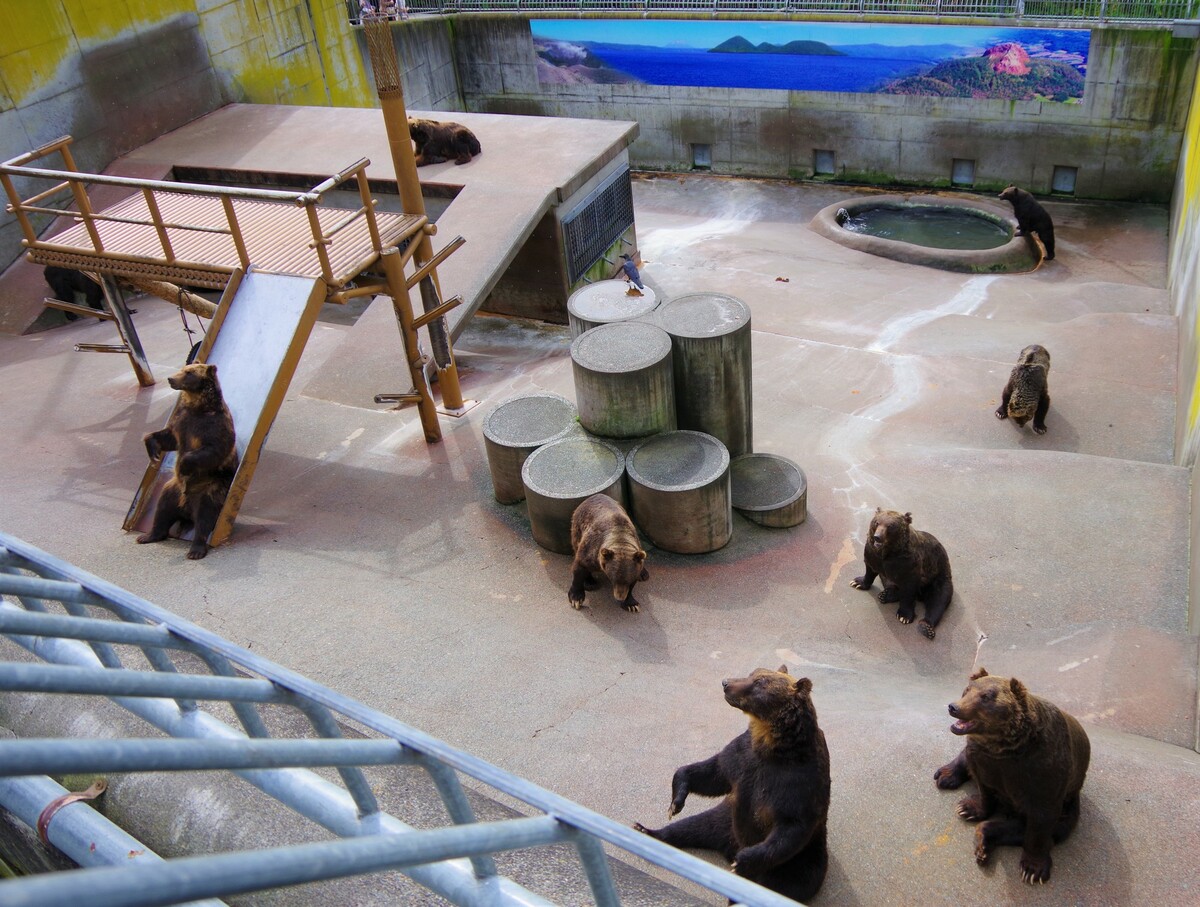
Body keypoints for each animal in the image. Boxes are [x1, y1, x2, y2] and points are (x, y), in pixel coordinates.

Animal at [137, 363, 239, 560]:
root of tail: (187, 511)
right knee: (162, 509)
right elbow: (169, 437)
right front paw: (153, 450)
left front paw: (184, 464)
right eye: (183, 368)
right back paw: (148, 535)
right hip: (172, 489)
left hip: (209, 488)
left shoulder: (213, 426)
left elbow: (213, 450)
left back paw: (196, 550)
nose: (171, 379)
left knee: (204, 517)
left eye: (189, 373)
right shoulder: (181, 420)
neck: (198, 407)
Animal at [633, 665, 830, 903]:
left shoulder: (797, 783)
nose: (726, 683)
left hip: (802, 860)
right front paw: (675, 803)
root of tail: (727, 847)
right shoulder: (742, 757)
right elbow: (712, 773)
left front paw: (743, 861)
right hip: (725, 821)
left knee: (789, 882)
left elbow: (791, 826)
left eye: (760, 682)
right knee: (694, 826)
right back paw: (647, 831)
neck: (772, 745)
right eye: (752, 673)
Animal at [850, 508, 953, 640]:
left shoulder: (908, 564)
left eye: (890, 526)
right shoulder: (873, 554)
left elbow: (909, 589)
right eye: (877, 522)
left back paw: (927, 627)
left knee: (939, 599)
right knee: (889, 582)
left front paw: (904, 616)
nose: (877, 537)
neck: (888, 551)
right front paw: (857, 582)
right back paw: (886, 594)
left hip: (939, 576)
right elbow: (870, 569)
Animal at [934, 667, 1090, 885]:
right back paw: (947, 776)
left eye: (986, 697)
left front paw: (1032, 869)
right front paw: (969, 808)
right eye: (967, 690)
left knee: (1049, 829)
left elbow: (1041, 822)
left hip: (1070, 803)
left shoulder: (1043, 773)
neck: (1005, 748)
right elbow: (984, 787)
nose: (953, 706)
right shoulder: (986, 761)